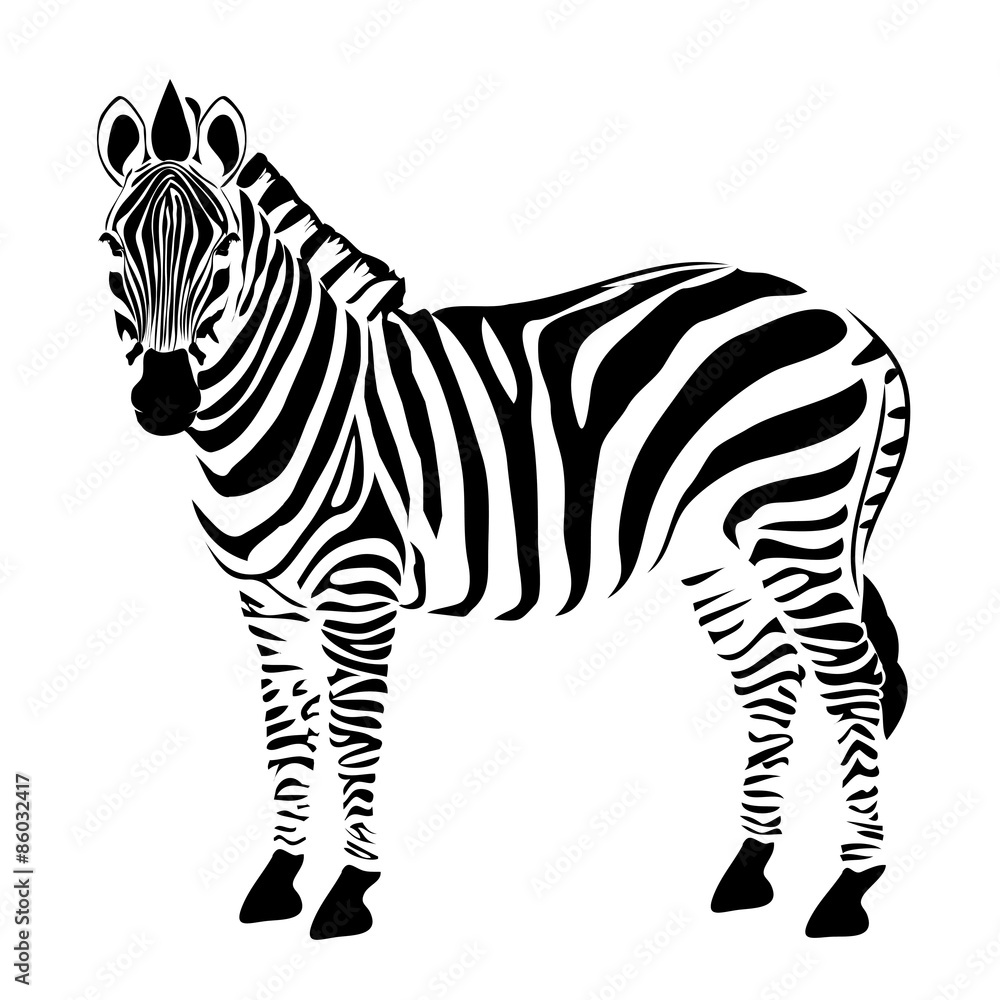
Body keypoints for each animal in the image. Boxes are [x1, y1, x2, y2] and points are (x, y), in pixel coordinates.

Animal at [96, 82, 909, 940]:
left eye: (221, 251)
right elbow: (287, 733)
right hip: (715, 548)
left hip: (800, 521)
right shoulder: (264, 598)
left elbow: (354, 729)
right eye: (114, 247)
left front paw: (348, 892)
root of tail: (853, 328)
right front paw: (280, 880)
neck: (294, 399)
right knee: (770, 677)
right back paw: (749, 871)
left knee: (853, 678)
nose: (164, 401)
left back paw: (849, 890)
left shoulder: (361, 584)